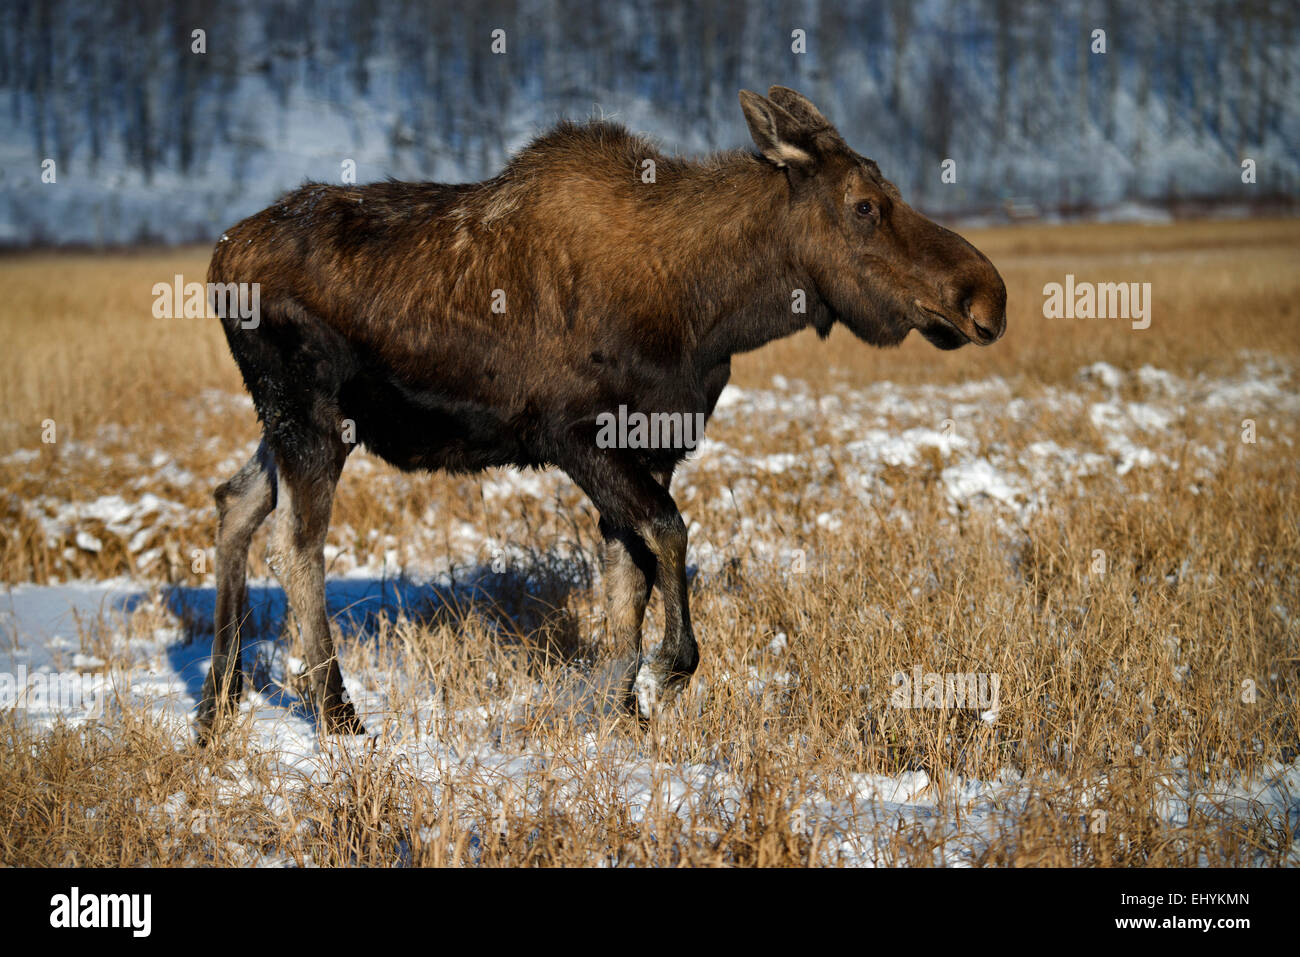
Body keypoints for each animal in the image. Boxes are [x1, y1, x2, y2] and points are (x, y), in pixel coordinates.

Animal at [198, 86, 1006, 739]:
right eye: (865, 205)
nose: (985, 296)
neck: (713, 312)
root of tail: (216, 260)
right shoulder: (576, 436)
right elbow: (668, 535)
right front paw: (668, 671)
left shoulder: (656, 445)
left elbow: (630, 579)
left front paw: (620, 714)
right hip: (310, 413)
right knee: (296, 545)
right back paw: (337, 714)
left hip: (291, 421)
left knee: (235, 501)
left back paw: (216, 704)